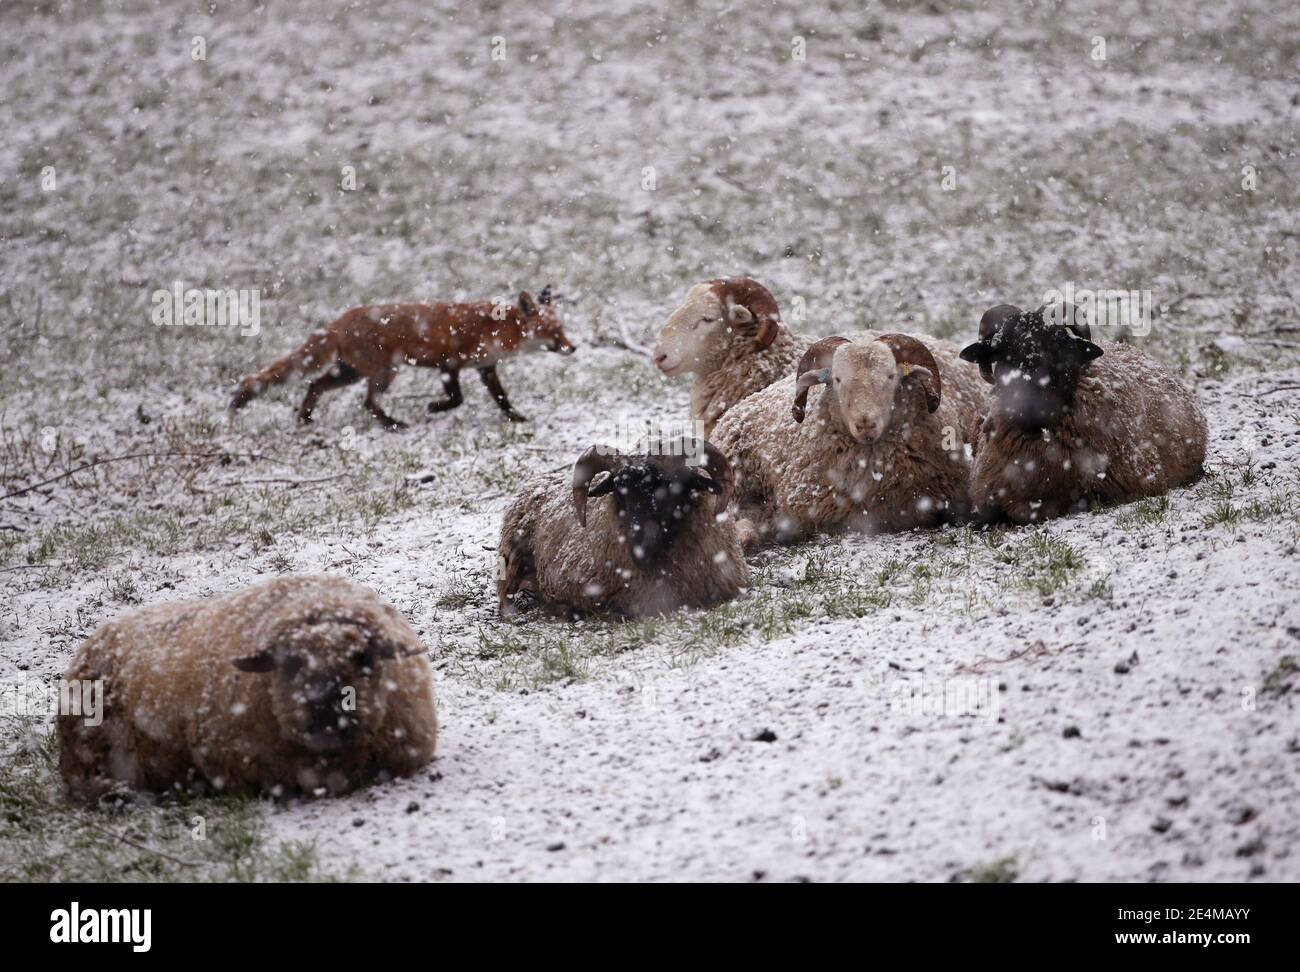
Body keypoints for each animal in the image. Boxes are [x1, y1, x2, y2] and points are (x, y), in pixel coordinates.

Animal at [58, 575, 437, 804]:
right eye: (291, 663)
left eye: (363, 657)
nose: (326, 711)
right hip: (87, 738)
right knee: (78, 781)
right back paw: (116, 795)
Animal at [229, 286, 576, 429]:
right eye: (553, 332)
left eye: (562, 329)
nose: (572, 348)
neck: (498, 328)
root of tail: (338, 321)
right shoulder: (449, 363)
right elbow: (457, 398)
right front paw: (434, 407)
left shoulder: (485, 367)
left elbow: (502, 398)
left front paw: (516, 417)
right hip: (384, 373)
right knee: (367, 403)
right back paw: (392, 424)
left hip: (351, 373)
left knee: (315, 384)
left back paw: (305, 418)